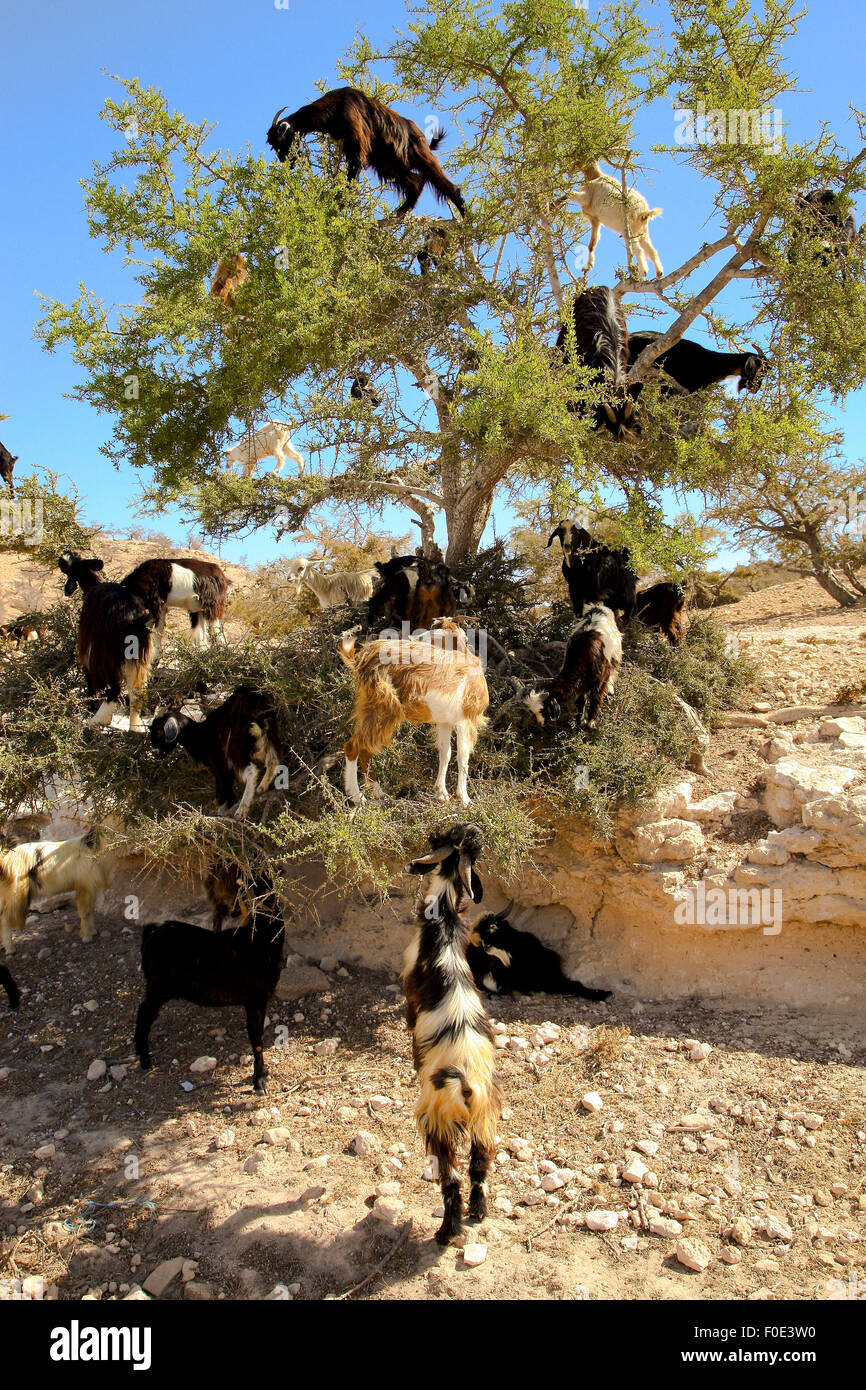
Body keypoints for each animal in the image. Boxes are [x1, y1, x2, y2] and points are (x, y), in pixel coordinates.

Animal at [134, 877, 285, 1094]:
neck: (262, 935)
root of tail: (152, 933)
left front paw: (262, 1075)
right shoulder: (254, 1000)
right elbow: (256, 1040)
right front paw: (259, 1081)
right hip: (158, 987)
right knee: (145, 1013)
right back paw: (145, 1059)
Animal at [149, 687, 283, 819]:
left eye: (158, 731)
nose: (155, 752)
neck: (199, 735)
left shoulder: (219, 765)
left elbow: (222, 790)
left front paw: (222, 812)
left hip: (234, 746)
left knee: (251, 770)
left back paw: (241, 810)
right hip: (271, 734)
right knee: (273, 760)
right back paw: (262, 787)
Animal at [267, 87, 465, 218]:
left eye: (281, 140)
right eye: (272, 145)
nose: (286, 162)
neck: (335, 107)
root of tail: (420, 135)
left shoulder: (357, 145)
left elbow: (352, 176)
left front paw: (339, 204)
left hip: (422, 158)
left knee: (449, 188)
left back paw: (467, 222)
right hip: (390, 166)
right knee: (416, 183)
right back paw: (399, 212)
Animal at [339, 618, 488, 807]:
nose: (414, 638)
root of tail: (364, 658)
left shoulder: (445, 722)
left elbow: (445, 753)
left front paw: (441, 794)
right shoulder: (465, 720)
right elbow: (463, 756)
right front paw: (464, 799)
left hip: (369, 708)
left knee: (364, 749)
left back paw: (378, 793)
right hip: (383, 709)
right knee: (354, 746)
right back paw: (357, 796)